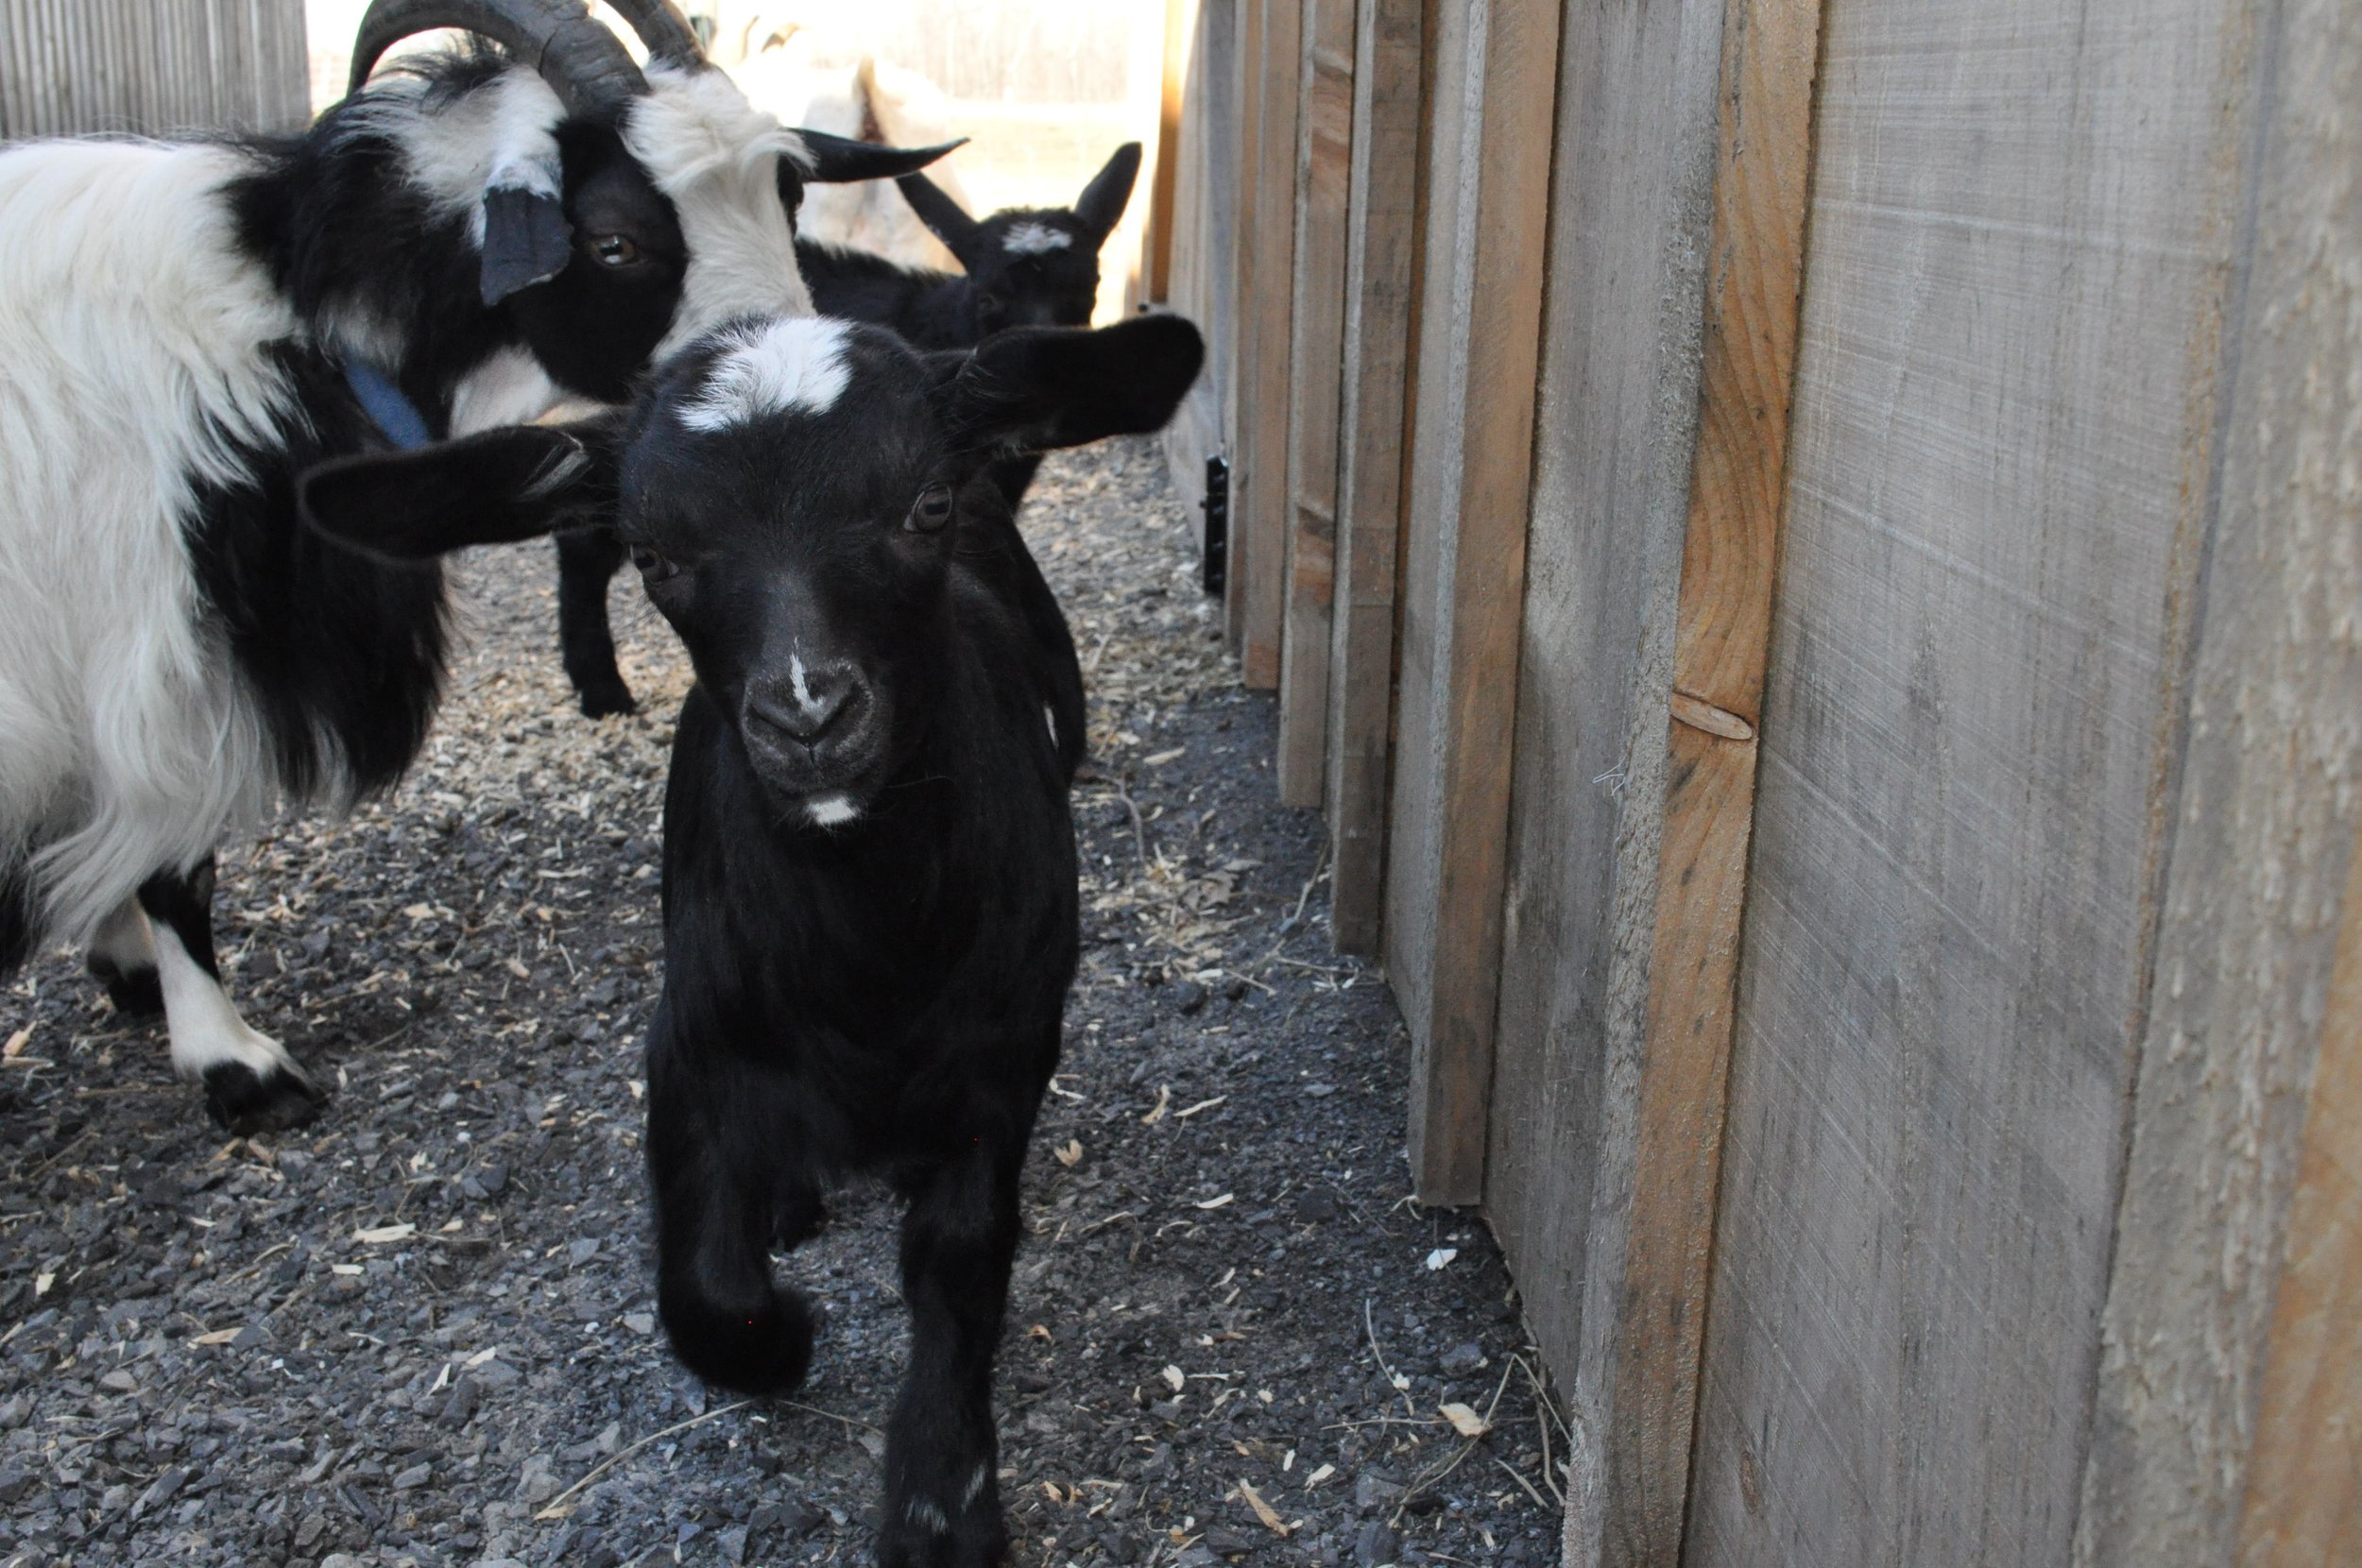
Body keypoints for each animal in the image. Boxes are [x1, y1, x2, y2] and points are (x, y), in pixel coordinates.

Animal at [0, 0, 949, 1134]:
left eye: (787, 191)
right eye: (615, 241)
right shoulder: (156, 655)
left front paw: (121, 958)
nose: (804, 398)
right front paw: (236, 1062)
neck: (290, 321)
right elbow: (176, 865)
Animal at [300, 309, 1205, 1568]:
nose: (808, 717)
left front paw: (941, 1501)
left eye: (924, 502)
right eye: (651, 554)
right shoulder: (688, 1045)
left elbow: (960, 1259)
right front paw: (783, 1337)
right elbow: (704, 1289)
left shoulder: (1004, 1057)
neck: (866, 948)